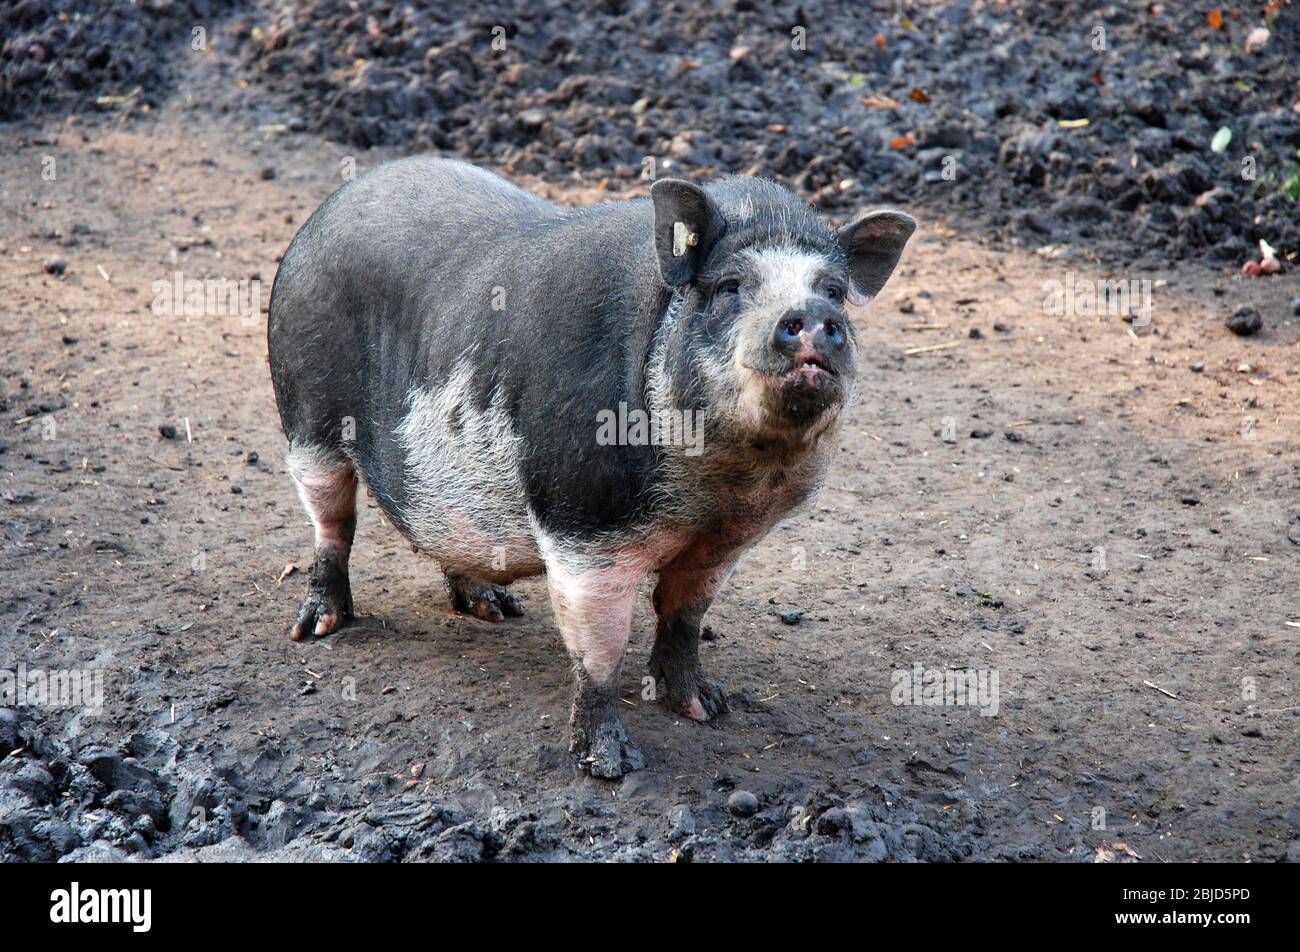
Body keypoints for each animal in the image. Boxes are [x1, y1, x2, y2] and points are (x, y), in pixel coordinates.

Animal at [267, 158, 914, 777]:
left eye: (833, 290)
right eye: (730, 285)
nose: (809, 315)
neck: (718, 489)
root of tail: (323, 215)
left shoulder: (721, 543)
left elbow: (684, 617)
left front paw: (708, 708)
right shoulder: (582, 524)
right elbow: (599, 650)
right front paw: (611, 765)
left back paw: (496, 611)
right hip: (308, 416)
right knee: (332, 521)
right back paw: (317, 628)